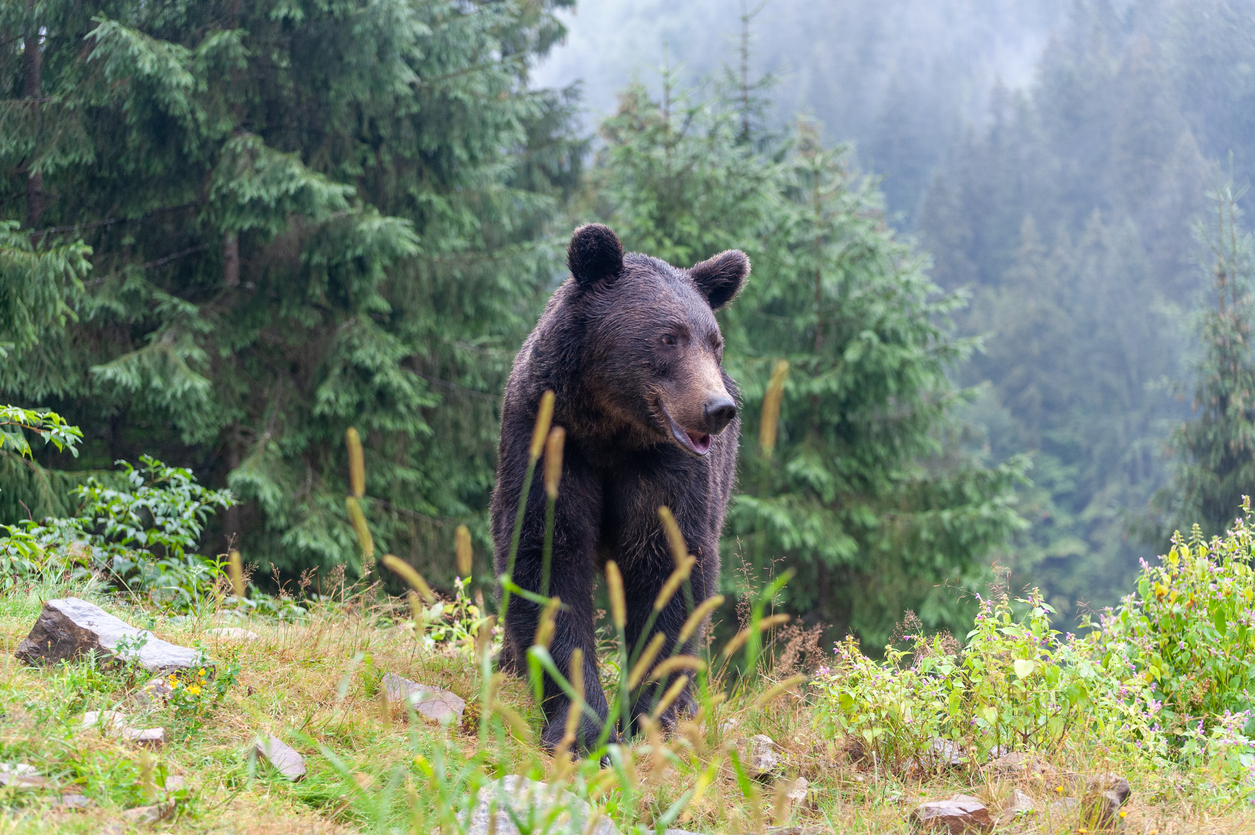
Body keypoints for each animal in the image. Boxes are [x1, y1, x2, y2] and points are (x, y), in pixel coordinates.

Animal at [490, 223, 749, 751]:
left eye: (715, 343)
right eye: (669, 337)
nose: (717, 408)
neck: (610, 426)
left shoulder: (664, 469)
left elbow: (669, 569)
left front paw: (650, 717)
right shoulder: (550, 440)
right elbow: (547, 556)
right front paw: (583, 729)